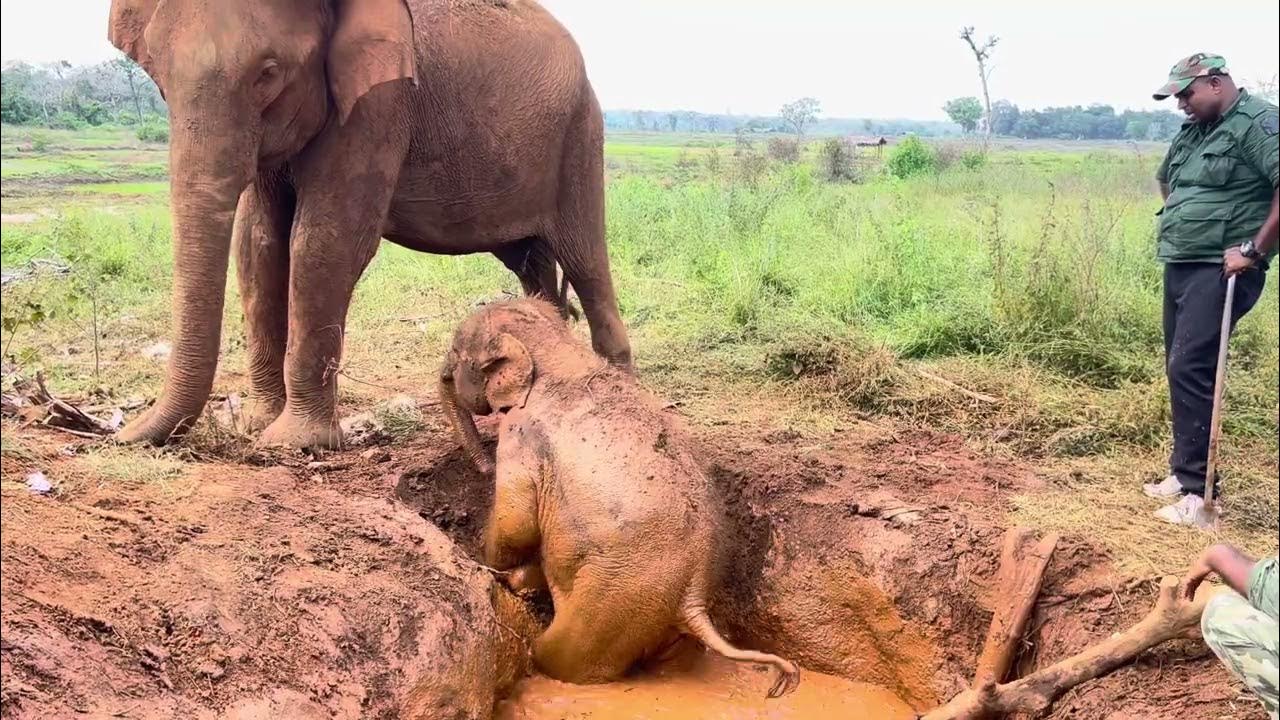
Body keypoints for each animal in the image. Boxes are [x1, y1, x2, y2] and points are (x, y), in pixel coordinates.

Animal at [106, 0, 631, 449]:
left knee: (585, 260)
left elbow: (324, 241)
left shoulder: (380, 104)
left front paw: (295, 443)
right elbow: (259, 246)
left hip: (582, 134)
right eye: (158, 79)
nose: (116, 434)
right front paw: (256, 425)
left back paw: (617, 390)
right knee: (530, 261)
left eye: (268, 73)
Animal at [437, 297, 801, 698]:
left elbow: (515, 524)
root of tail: (693, 599)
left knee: (560, 655)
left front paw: (488, 560)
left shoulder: (522, 435)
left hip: (613, 600)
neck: (558, 350)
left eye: (455, 350)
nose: (484, 467)